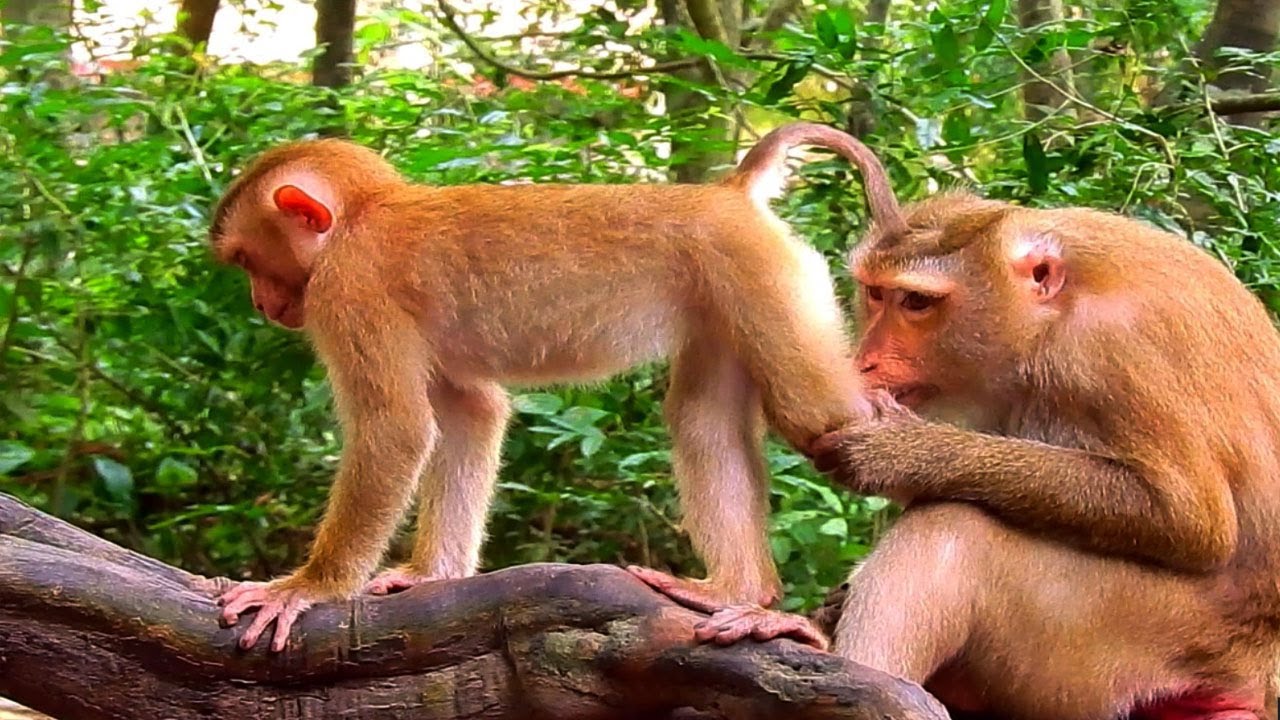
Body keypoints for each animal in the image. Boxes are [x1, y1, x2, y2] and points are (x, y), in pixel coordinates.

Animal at [207, 122, 903, 652]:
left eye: (246, 260)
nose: (261, 303)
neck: (363, 215)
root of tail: (730, 195)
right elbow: (473, 411)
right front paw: (433, 577)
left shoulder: (348, 289)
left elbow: (395, 430)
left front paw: (307, 588)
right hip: (726, 291)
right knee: (704, 422)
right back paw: (738, 593)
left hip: (764, 277)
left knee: (820, 418)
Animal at [687, 190, 1280, 720]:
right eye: (876, 294)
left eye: (917, 302)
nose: (865, 363)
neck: (1051, 318)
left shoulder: (1118, 343)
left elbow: (1192, 521)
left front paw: (897, 450)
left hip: (1129, 651)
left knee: (954, 532)